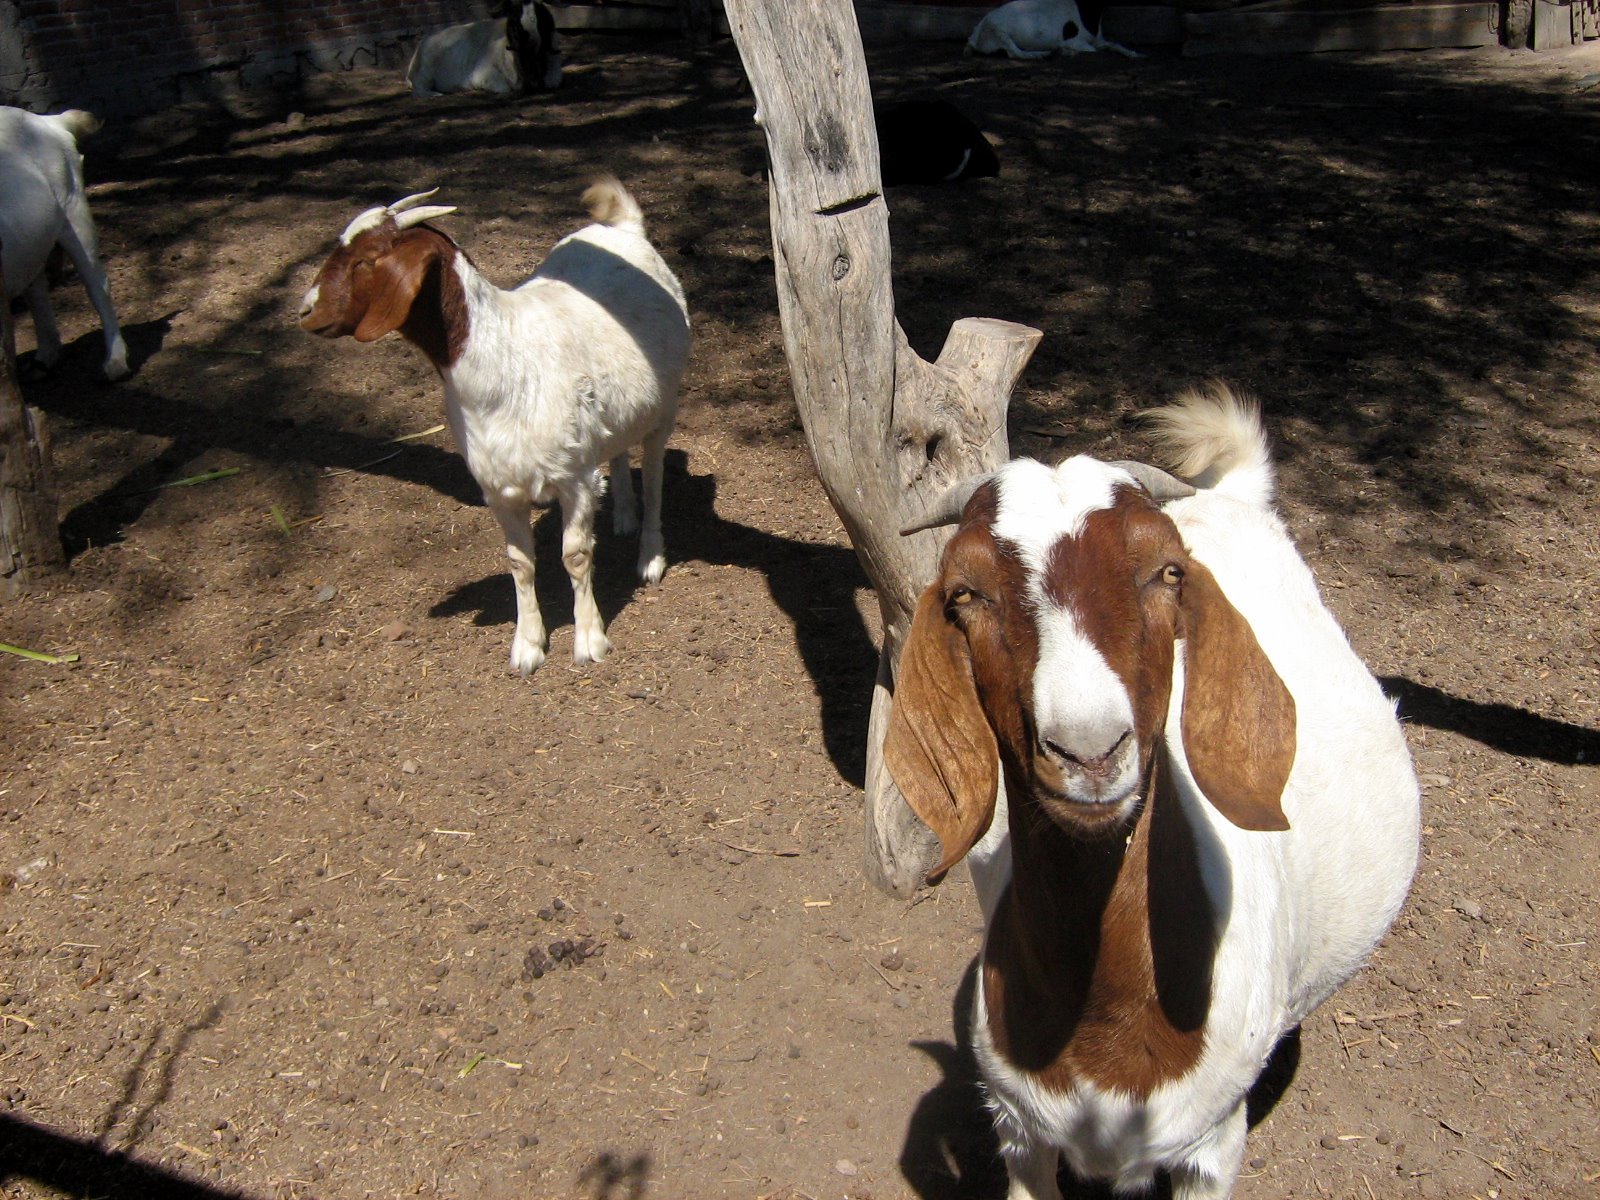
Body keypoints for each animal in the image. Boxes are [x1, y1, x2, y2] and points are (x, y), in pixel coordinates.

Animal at [0, 106, 130, 381]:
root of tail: (50, 121)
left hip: (74, 208)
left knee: (97, 283)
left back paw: (115, 363)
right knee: (36, 286)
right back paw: (44, 360)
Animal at [298, 178, 690, 675]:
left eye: (366, 260)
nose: (305, 311)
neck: (502, 356)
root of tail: (623, 227)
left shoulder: (573, 478)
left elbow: (575, 556)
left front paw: (589, 639)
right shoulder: (498, 487)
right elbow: (520, 563)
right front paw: (527, 645)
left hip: (665, 403)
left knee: (655, 472)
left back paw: (650, 555)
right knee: (617, 448)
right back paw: (622, 514)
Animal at [406, 0, 562, 98]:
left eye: (541, 20)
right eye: (516, 23)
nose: (532, 42)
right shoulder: (482, 75)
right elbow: (505, 88)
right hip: (425, 72)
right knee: (418, 89)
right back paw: (435, 94)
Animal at [885, 383, 1419, 1199]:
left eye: (1167, 571)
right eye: (965, 593)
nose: (1089, 749)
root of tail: (1236, 495)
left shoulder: (1211, 1144)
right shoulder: (1021, 1130)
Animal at [966, 0, 1140, 59]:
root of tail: (974, 35)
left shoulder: (1098, 39)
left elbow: (1116, 45)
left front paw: (1136, 54)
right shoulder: (1074, 41)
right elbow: (1093, 50)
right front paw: (1067, 52)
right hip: (998, 31)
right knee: (1015, 53)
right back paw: (1041, 54)